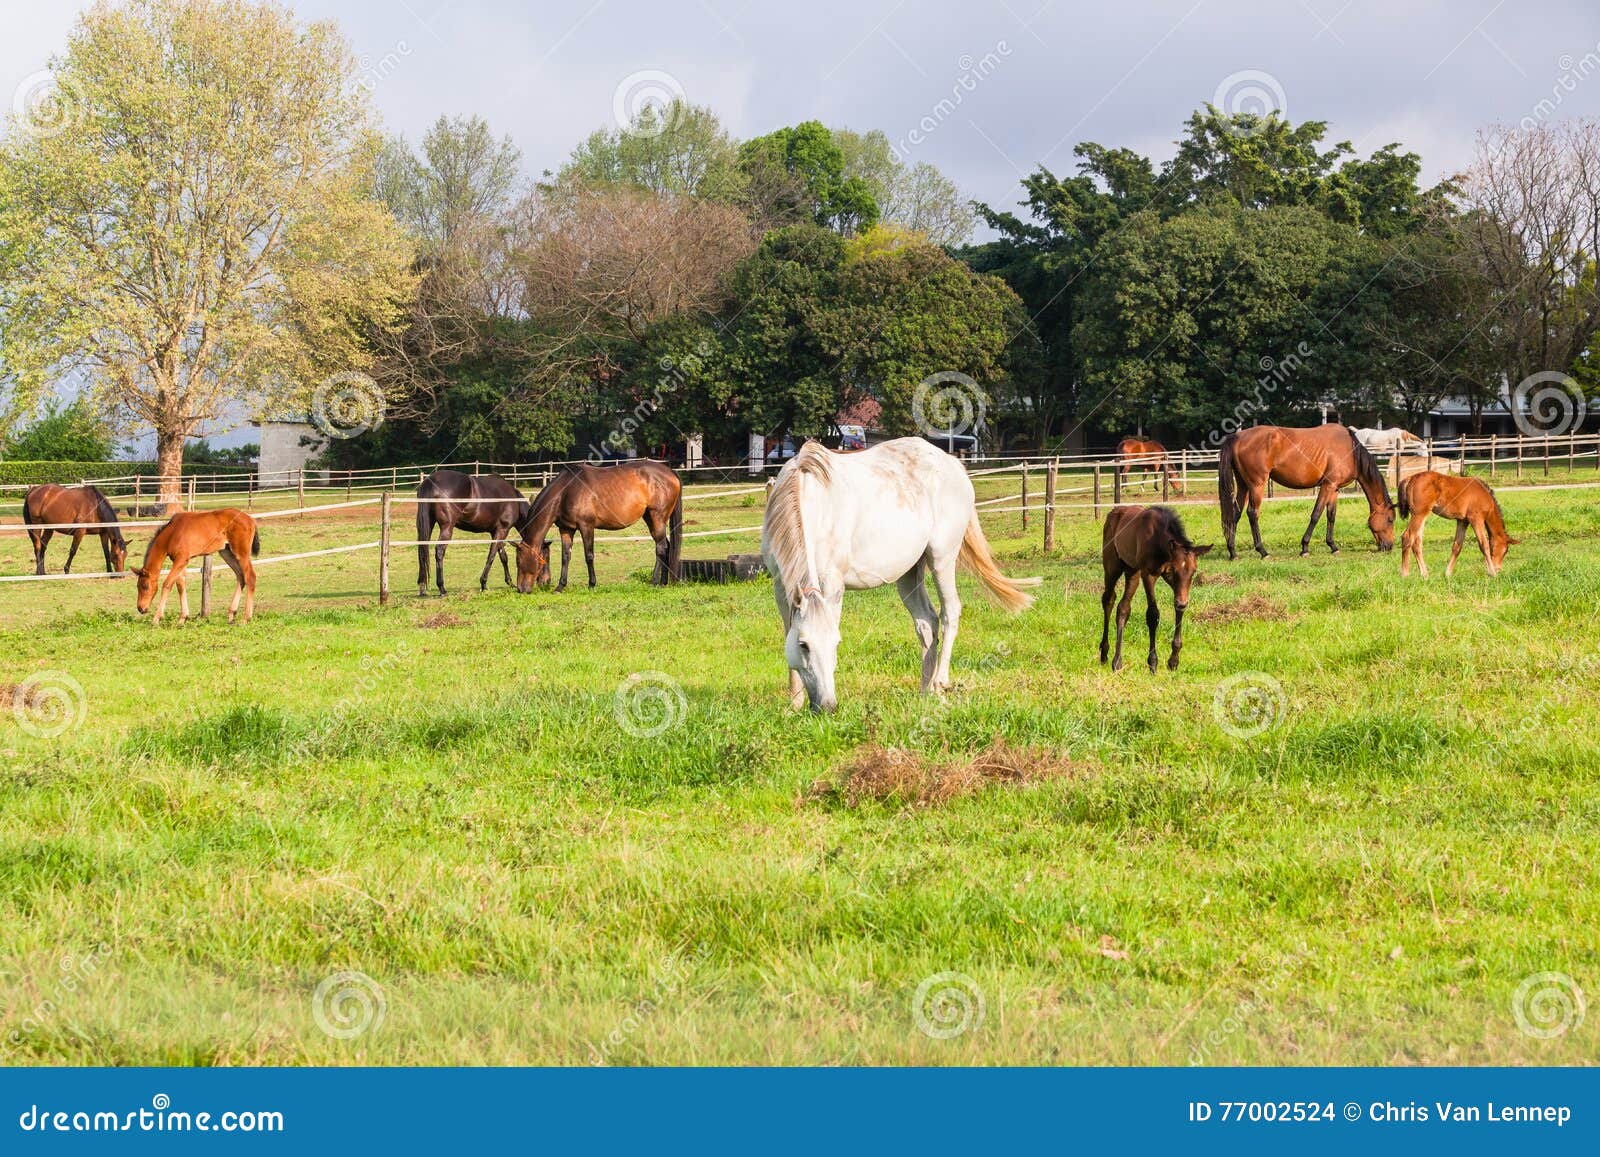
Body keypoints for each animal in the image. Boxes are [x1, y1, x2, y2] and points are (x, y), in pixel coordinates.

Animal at [514, 460, 682, 593]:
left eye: (518, 561)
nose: (521, 589)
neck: (566, 491)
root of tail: (670, 472)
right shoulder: (566, 529)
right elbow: (565, 557)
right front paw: (560, 587)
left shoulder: (586, 526)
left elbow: (589, 556)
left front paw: (592, 584)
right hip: (650, 518)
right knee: (666, 546)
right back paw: (663, 582)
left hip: (657, 517)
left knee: (660, 548)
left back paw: (654, 582)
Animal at [761, 438, 1039, 713]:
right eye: (803, 645)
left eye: (836, 643)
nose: (828, 706)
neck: (813, 501)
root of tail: (953, 464)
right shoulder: (781, 588)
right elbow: (788, 631)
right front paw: (794, 703)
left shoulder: (832, 584)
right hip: (909, 574)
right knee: (927, 623)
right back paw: (924, 693)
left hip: (942, 559)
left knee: (950, 612)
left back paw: (940, 685)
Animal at [1100, 505, 1212, 673]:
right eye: (1175, 570)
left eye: (1194, 571)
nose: (1183, 603)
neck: (1157, 539)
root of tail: (1114, 512)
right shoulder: (1148, 575)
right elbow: (1153, 615)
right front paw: (1153, 662)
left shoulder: (1174, 584)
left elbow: (1178, 607)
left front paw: (1174, 660)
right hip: (1112, 566)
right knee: (1108, 599)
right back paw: (1106, 654)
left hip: (1132, 571)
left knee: (1123, 607)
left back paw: (1117, 661)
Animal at [1218, 424, 1396, 559]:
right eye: (1390, 520)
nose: (1389, 546)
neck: (1350, 450)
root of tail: (1237, 437)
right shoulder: (1328, 485)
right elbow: (1316, 514)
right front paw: (1304, 548)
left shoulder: (1335, 489)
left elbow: (1331, 516)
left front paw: (1333, 546)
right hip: (1257, 485)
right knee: (1252, 513)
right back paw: (1263, 551)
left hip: (1243, 486)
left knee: (1235, 513)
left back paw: (1232, 552)